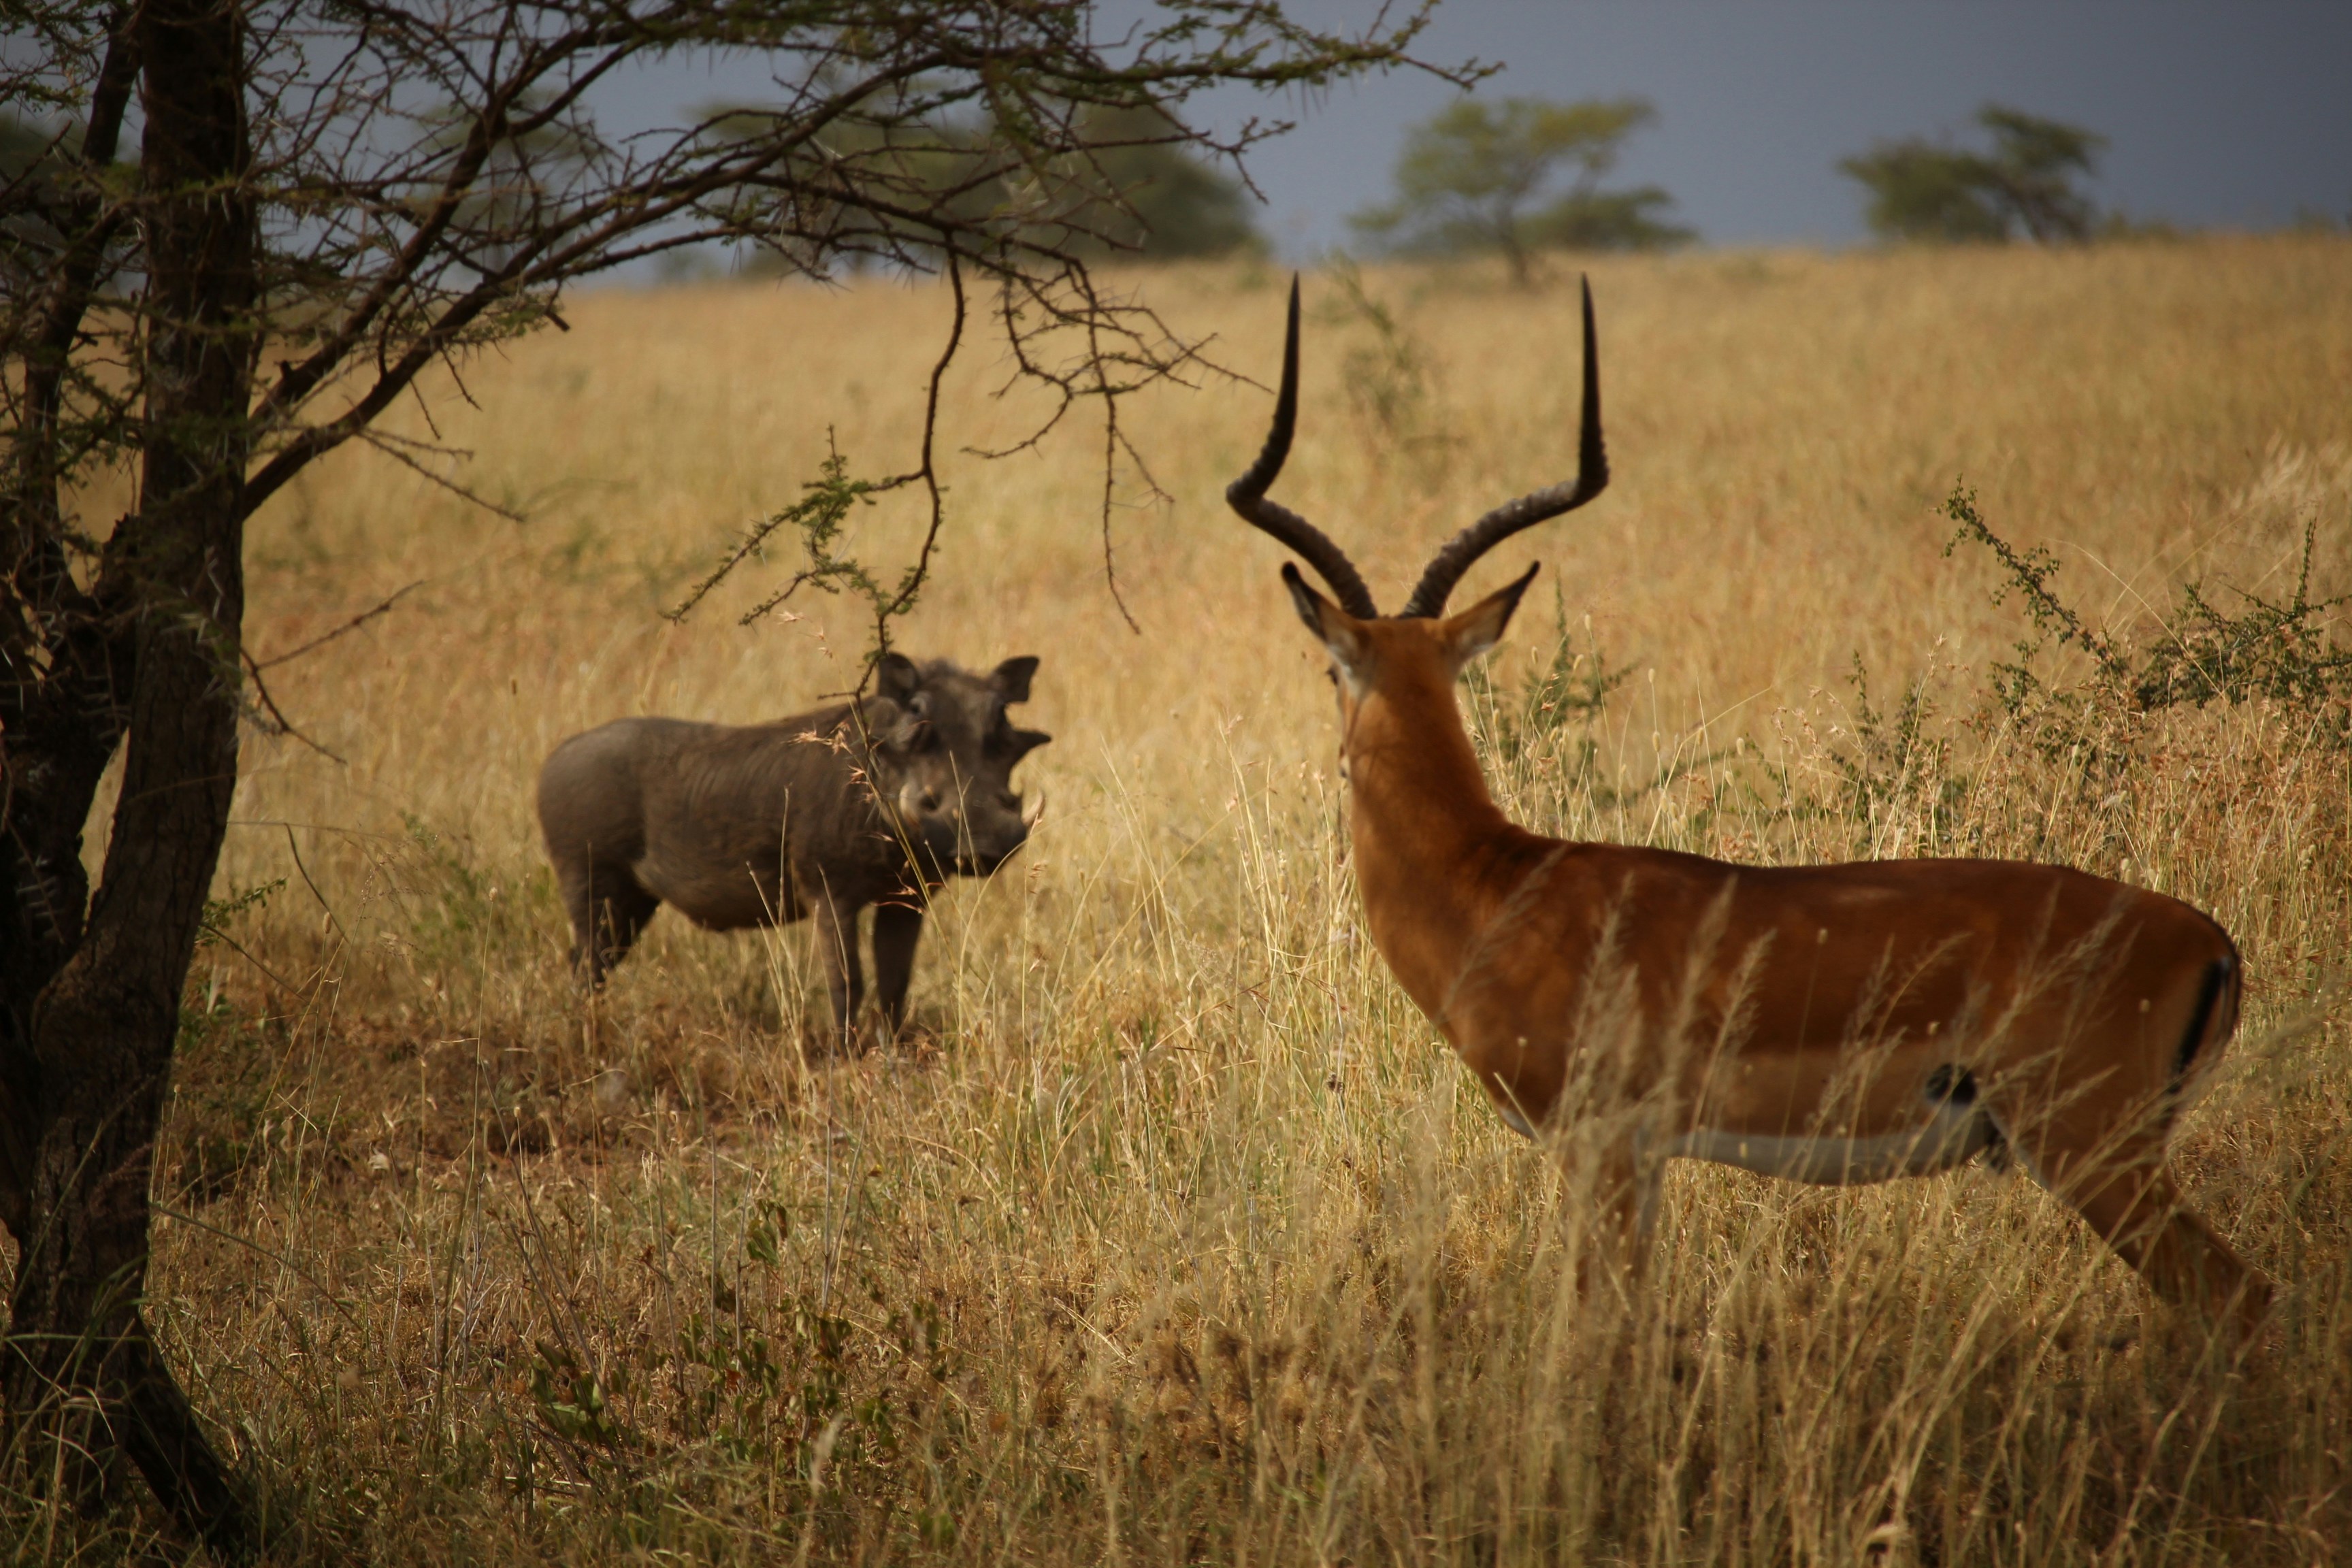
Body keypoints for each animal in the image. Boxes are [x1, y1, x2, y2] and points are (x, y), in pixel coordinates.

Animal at [1228, 276, 2271, 1331]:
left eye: (1331, 670)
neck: (1503, 890)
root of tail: (2210, 940)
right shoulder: (1641, 1160)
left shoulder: (1600, 1145)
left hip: (2090, 1151)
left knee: (2238, 1295)